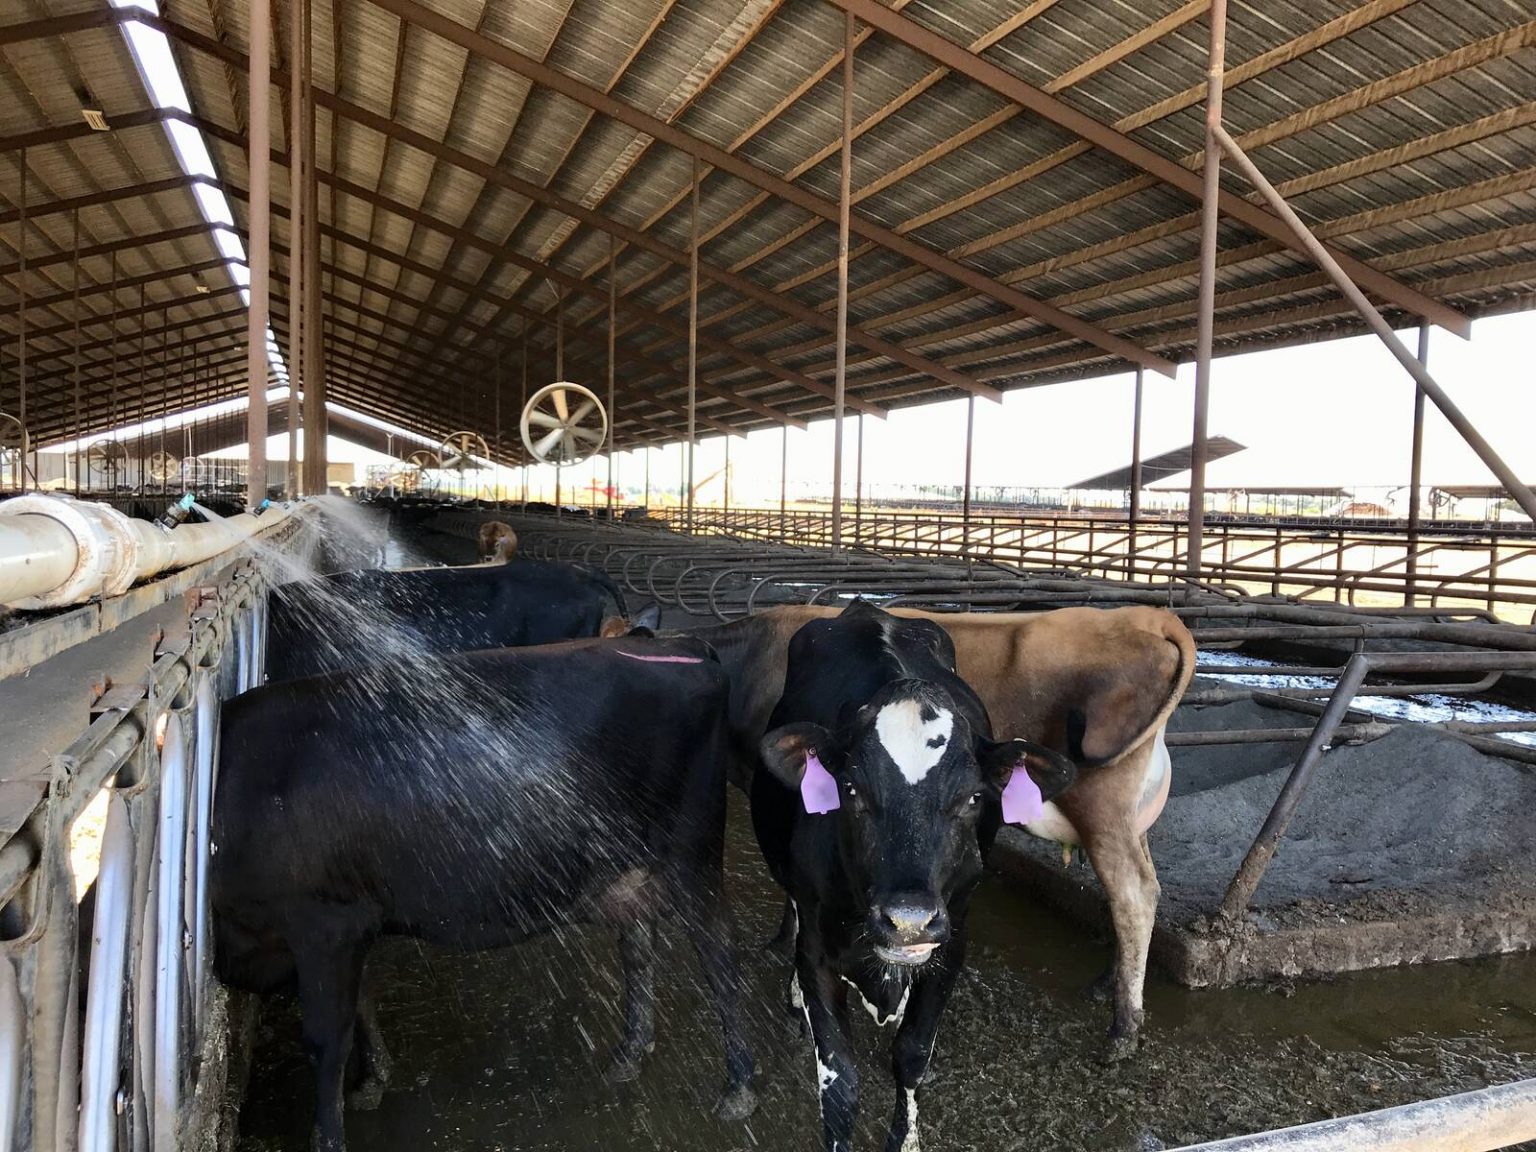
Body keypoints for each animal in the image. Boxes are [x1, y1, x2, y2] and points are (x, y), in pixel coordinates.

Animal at [212, 635, 757, 1152]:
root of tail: (680, 644)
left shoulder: (327, 922)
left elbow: (326, 1041)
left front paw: (328, 1135)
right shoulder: (350, 926)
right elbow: (363, 998)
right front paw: (371, 1080)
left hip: (692, 849)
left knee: (720, 951)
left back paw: (739, 1088)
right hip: (627, 865)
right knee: (638, 946)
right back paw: (628, 1054)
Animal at [697, 602, 1194, 1060]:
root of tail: (1147, 616)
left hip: (1103, 807)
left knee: (1132, 894)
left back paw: (1123, 1028)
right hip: (1130, 818)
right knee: (1141, 889)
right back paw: (1107, 985)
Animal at [752, 601, 1077, 1152]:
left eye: (974, 798)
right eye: (851, 790)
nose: (908, 921)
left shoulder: (953, 941)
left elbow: (911, 1056)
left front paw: (905, 1138)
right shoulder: (818, 948)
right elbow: (839, 1083)